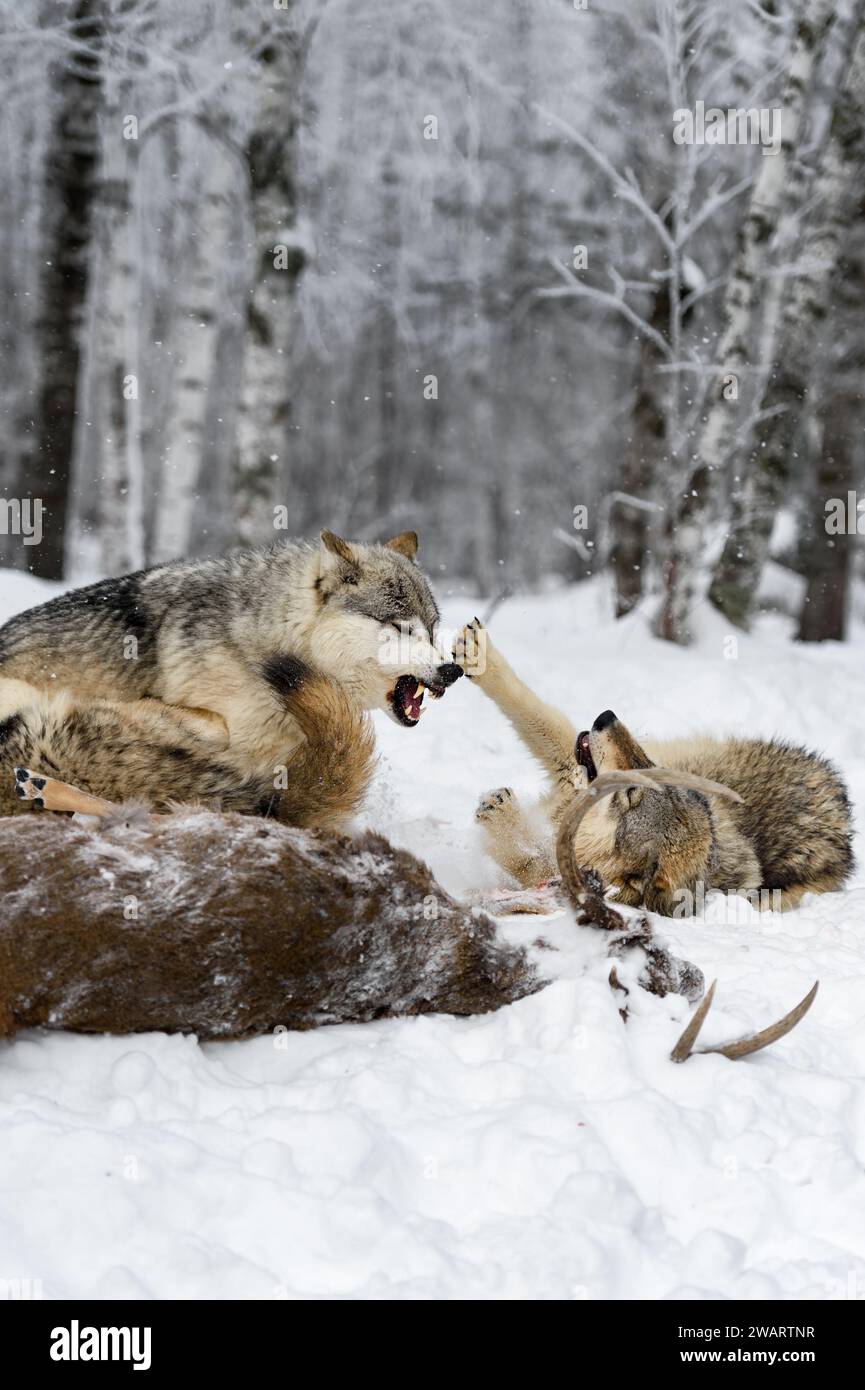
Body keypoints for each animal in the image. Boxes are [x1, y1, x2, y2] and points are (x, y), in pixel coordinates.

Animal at [454, 618, 853, 915]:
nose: (606, 716)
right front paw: (480, 655)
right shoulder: (570, 767)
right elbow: (529, 706)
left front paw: (506, 825)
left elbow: (529, 860)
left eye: (630, 794)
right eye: (652, 769)